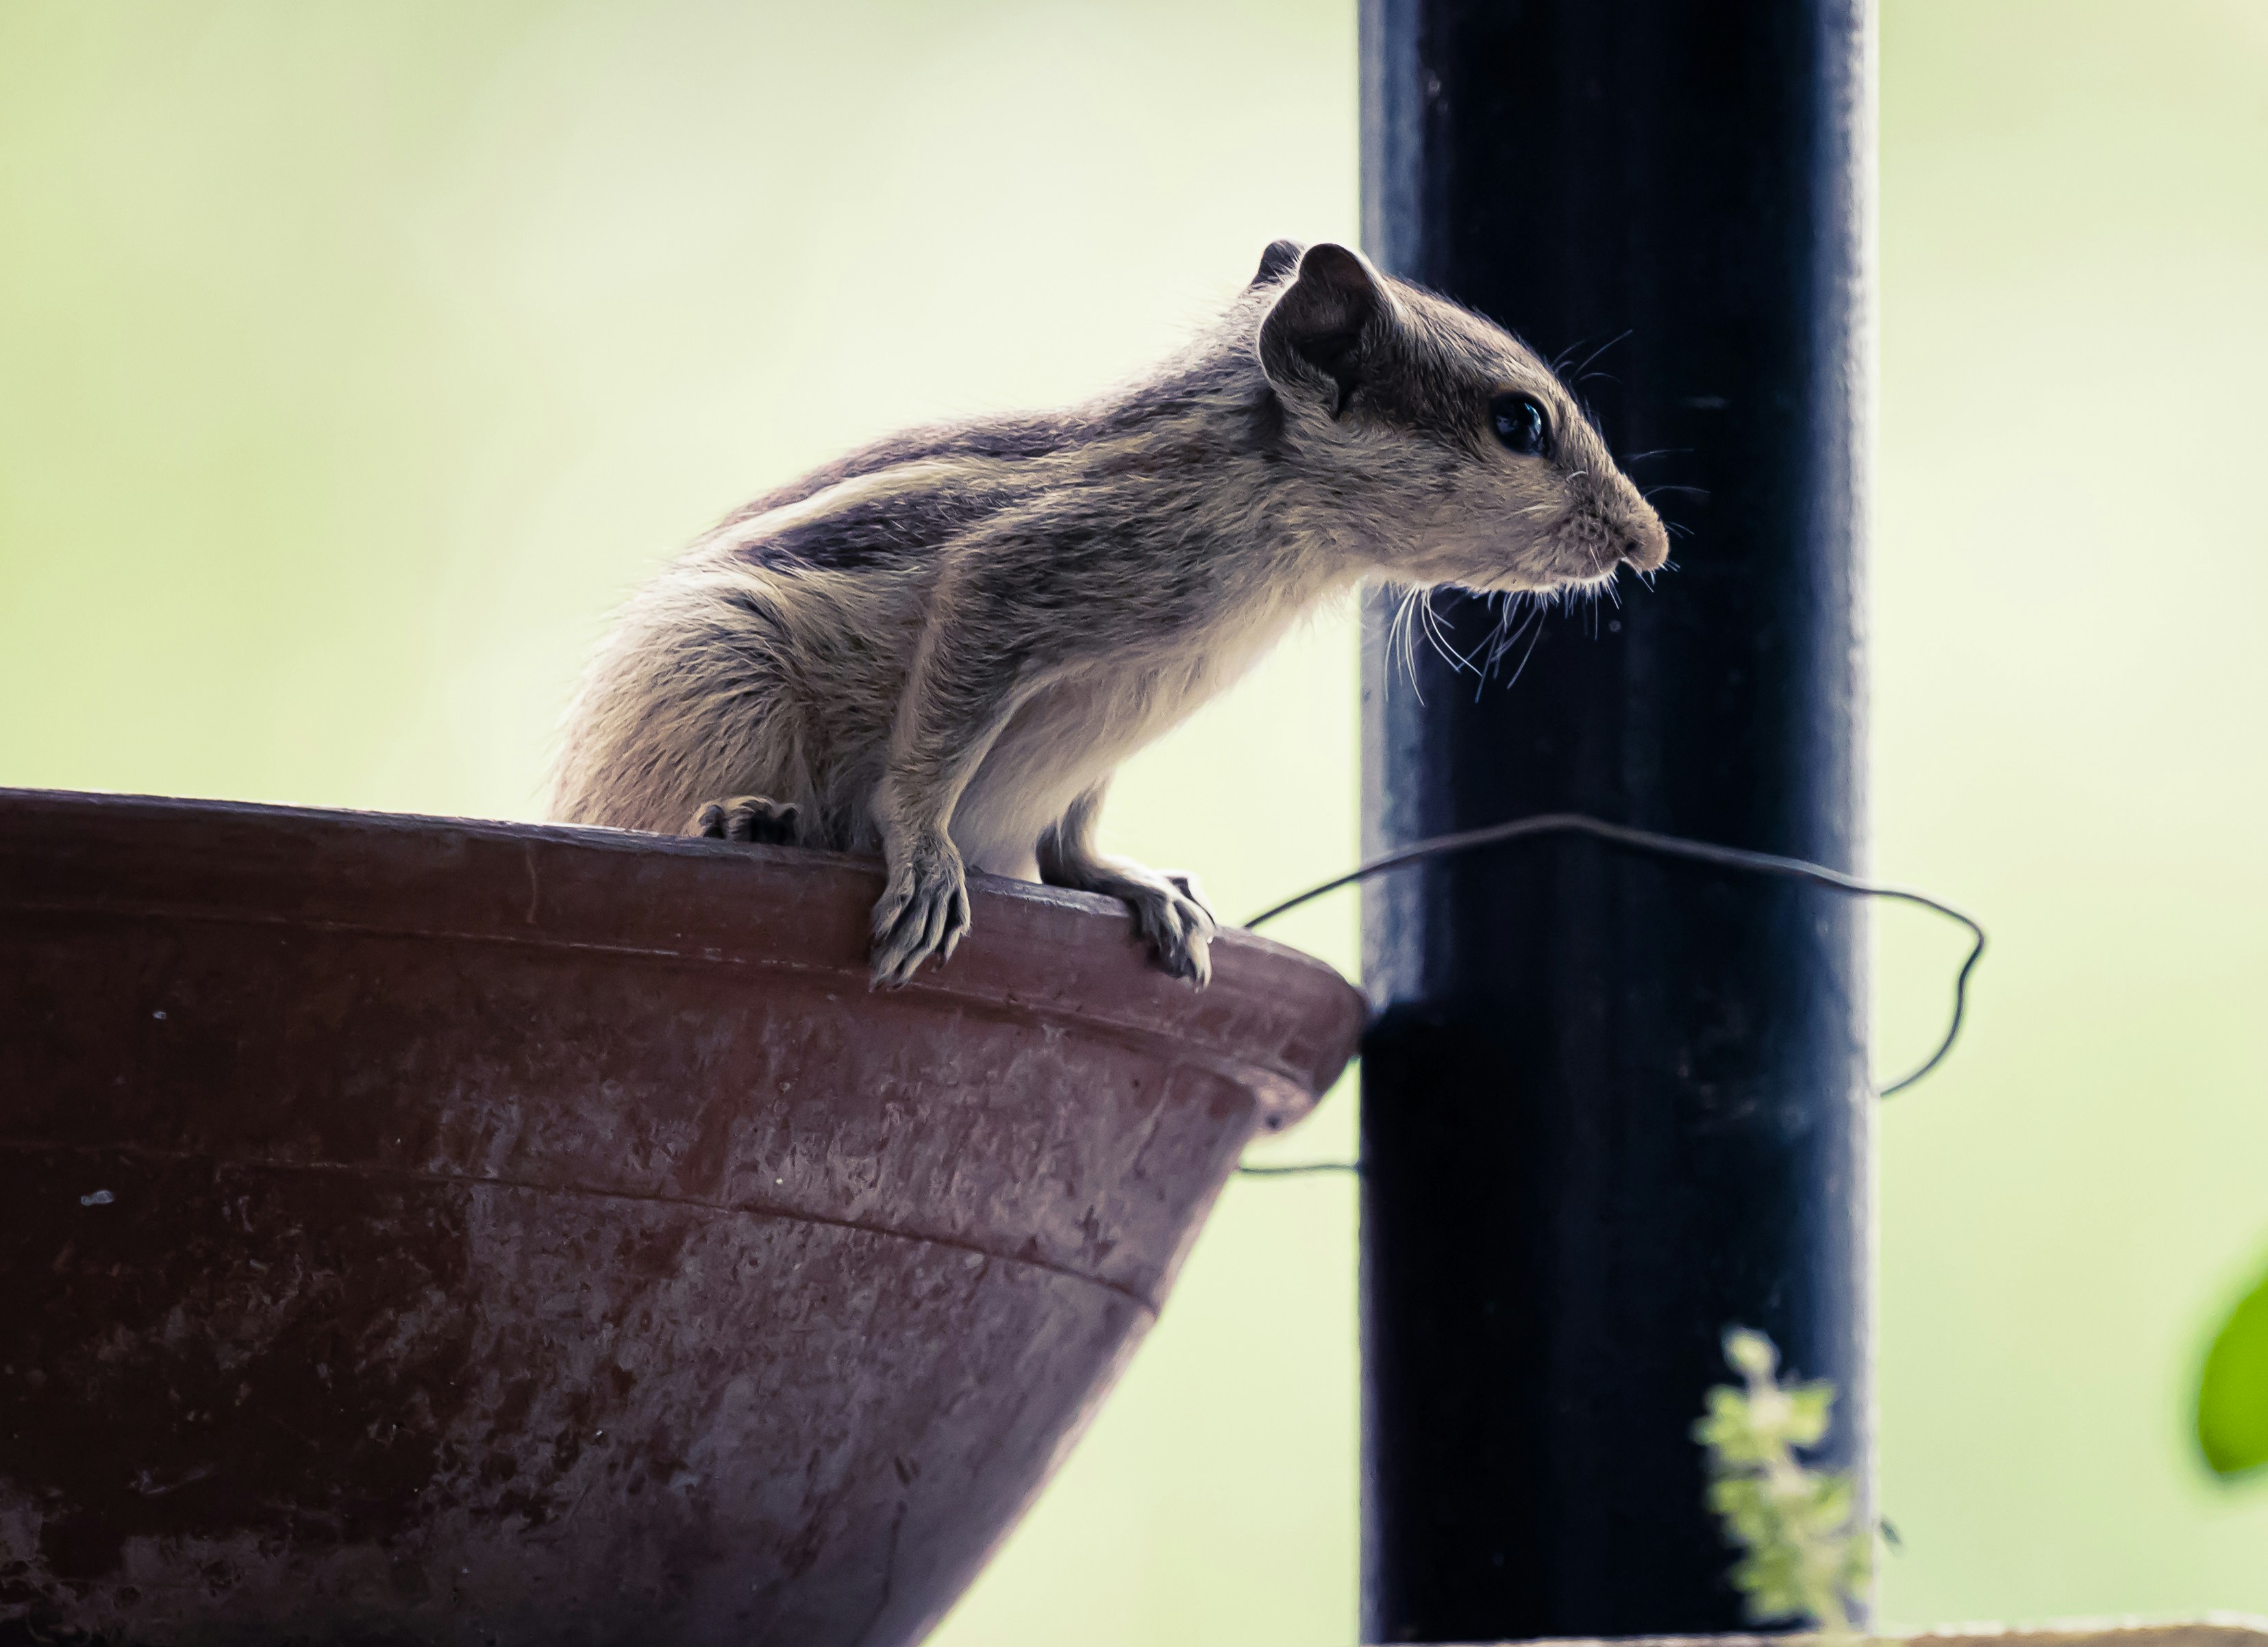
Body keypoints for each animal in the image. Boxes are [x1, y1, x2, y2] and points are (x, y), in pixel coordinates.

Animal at [550, 240, 1669, 988]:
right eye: (1517, 422)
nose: (1648, 545)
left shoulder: (1112, 721)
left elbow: (1071, 840)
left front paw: (1131, 883)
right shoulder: (1020, 577)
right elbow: (935, 743)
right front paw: (923, 855)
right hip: (717, 665)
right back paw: (749, 817)